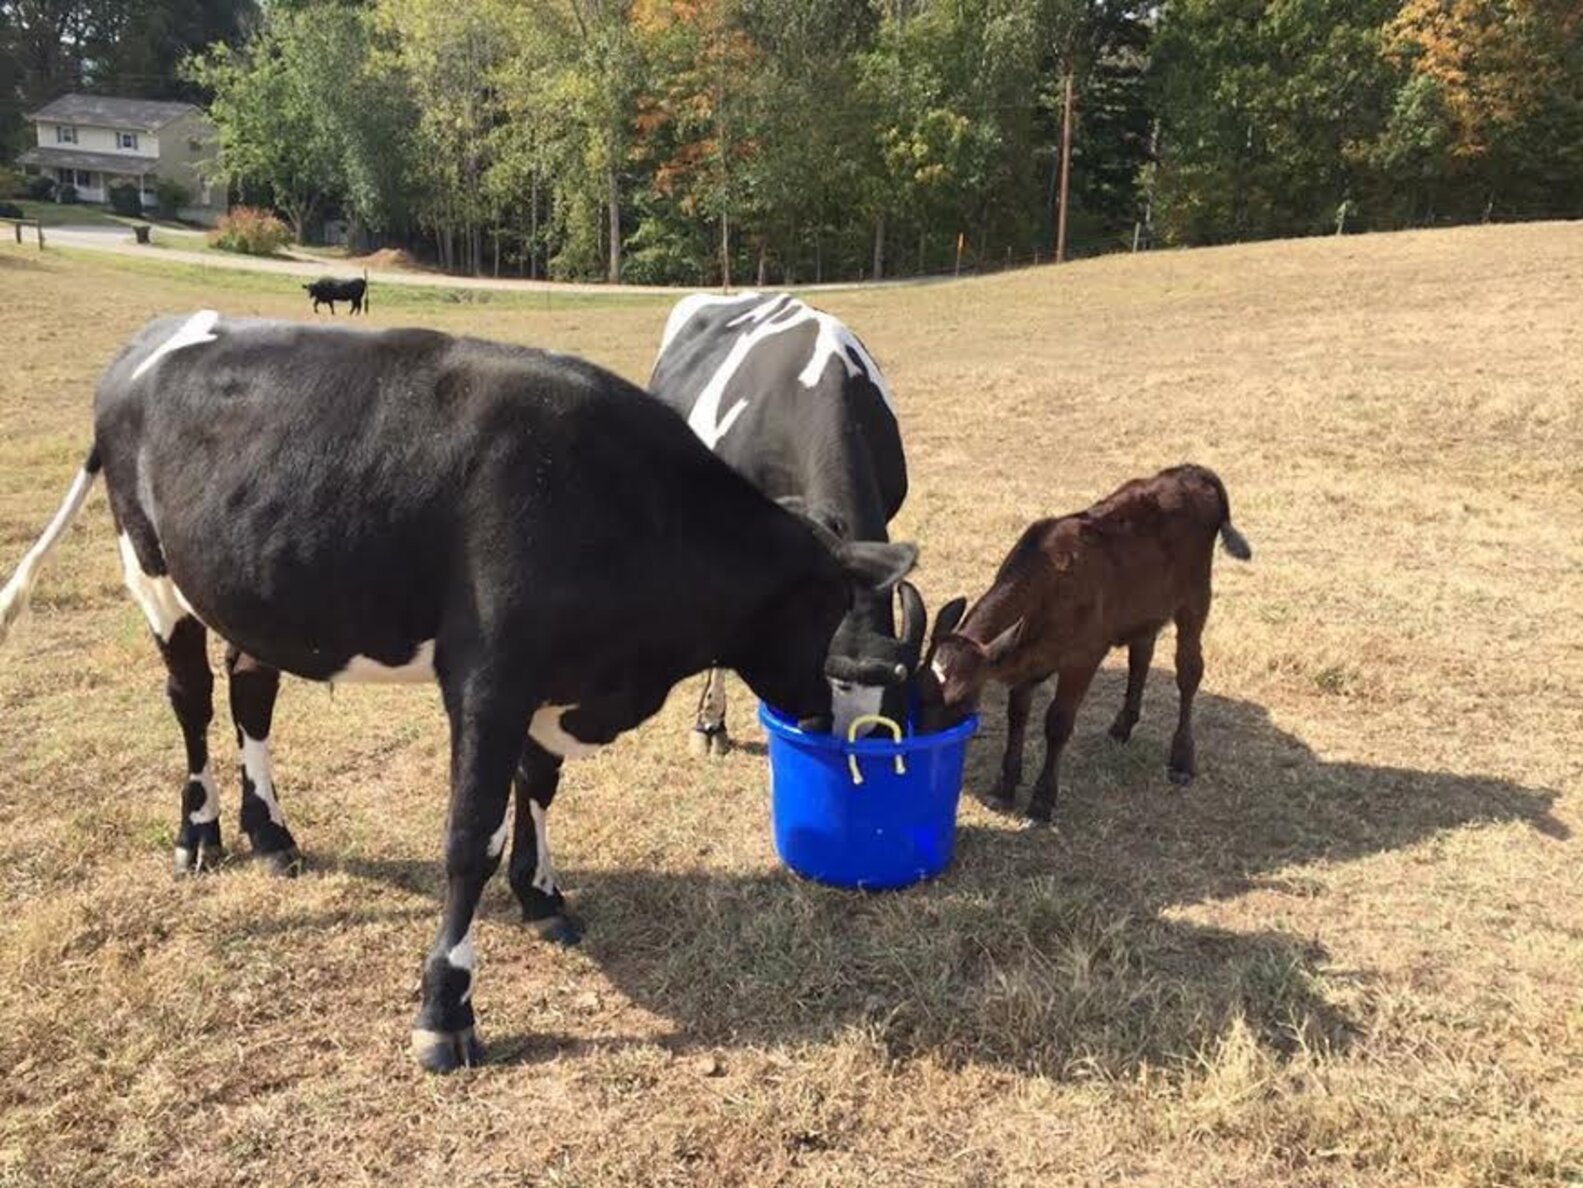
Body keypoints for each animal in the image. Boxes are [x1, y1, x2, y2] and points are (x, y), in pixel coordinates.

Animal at [918, 465, 1251, 823]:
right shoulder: (1027, 656)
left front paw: (1042, 800)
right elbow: (1017, 715)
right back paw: (1122, 726)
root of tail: (1192, 471)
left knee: (1189, 671)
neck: (1048, 583)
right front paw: (1004, 786)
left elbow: (1058, 722)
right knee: (1141, 655)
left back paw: (1182, 759)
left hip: (1195, 598)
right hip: (1143, 606)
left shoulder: (1083, 656)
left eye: (959, 699)